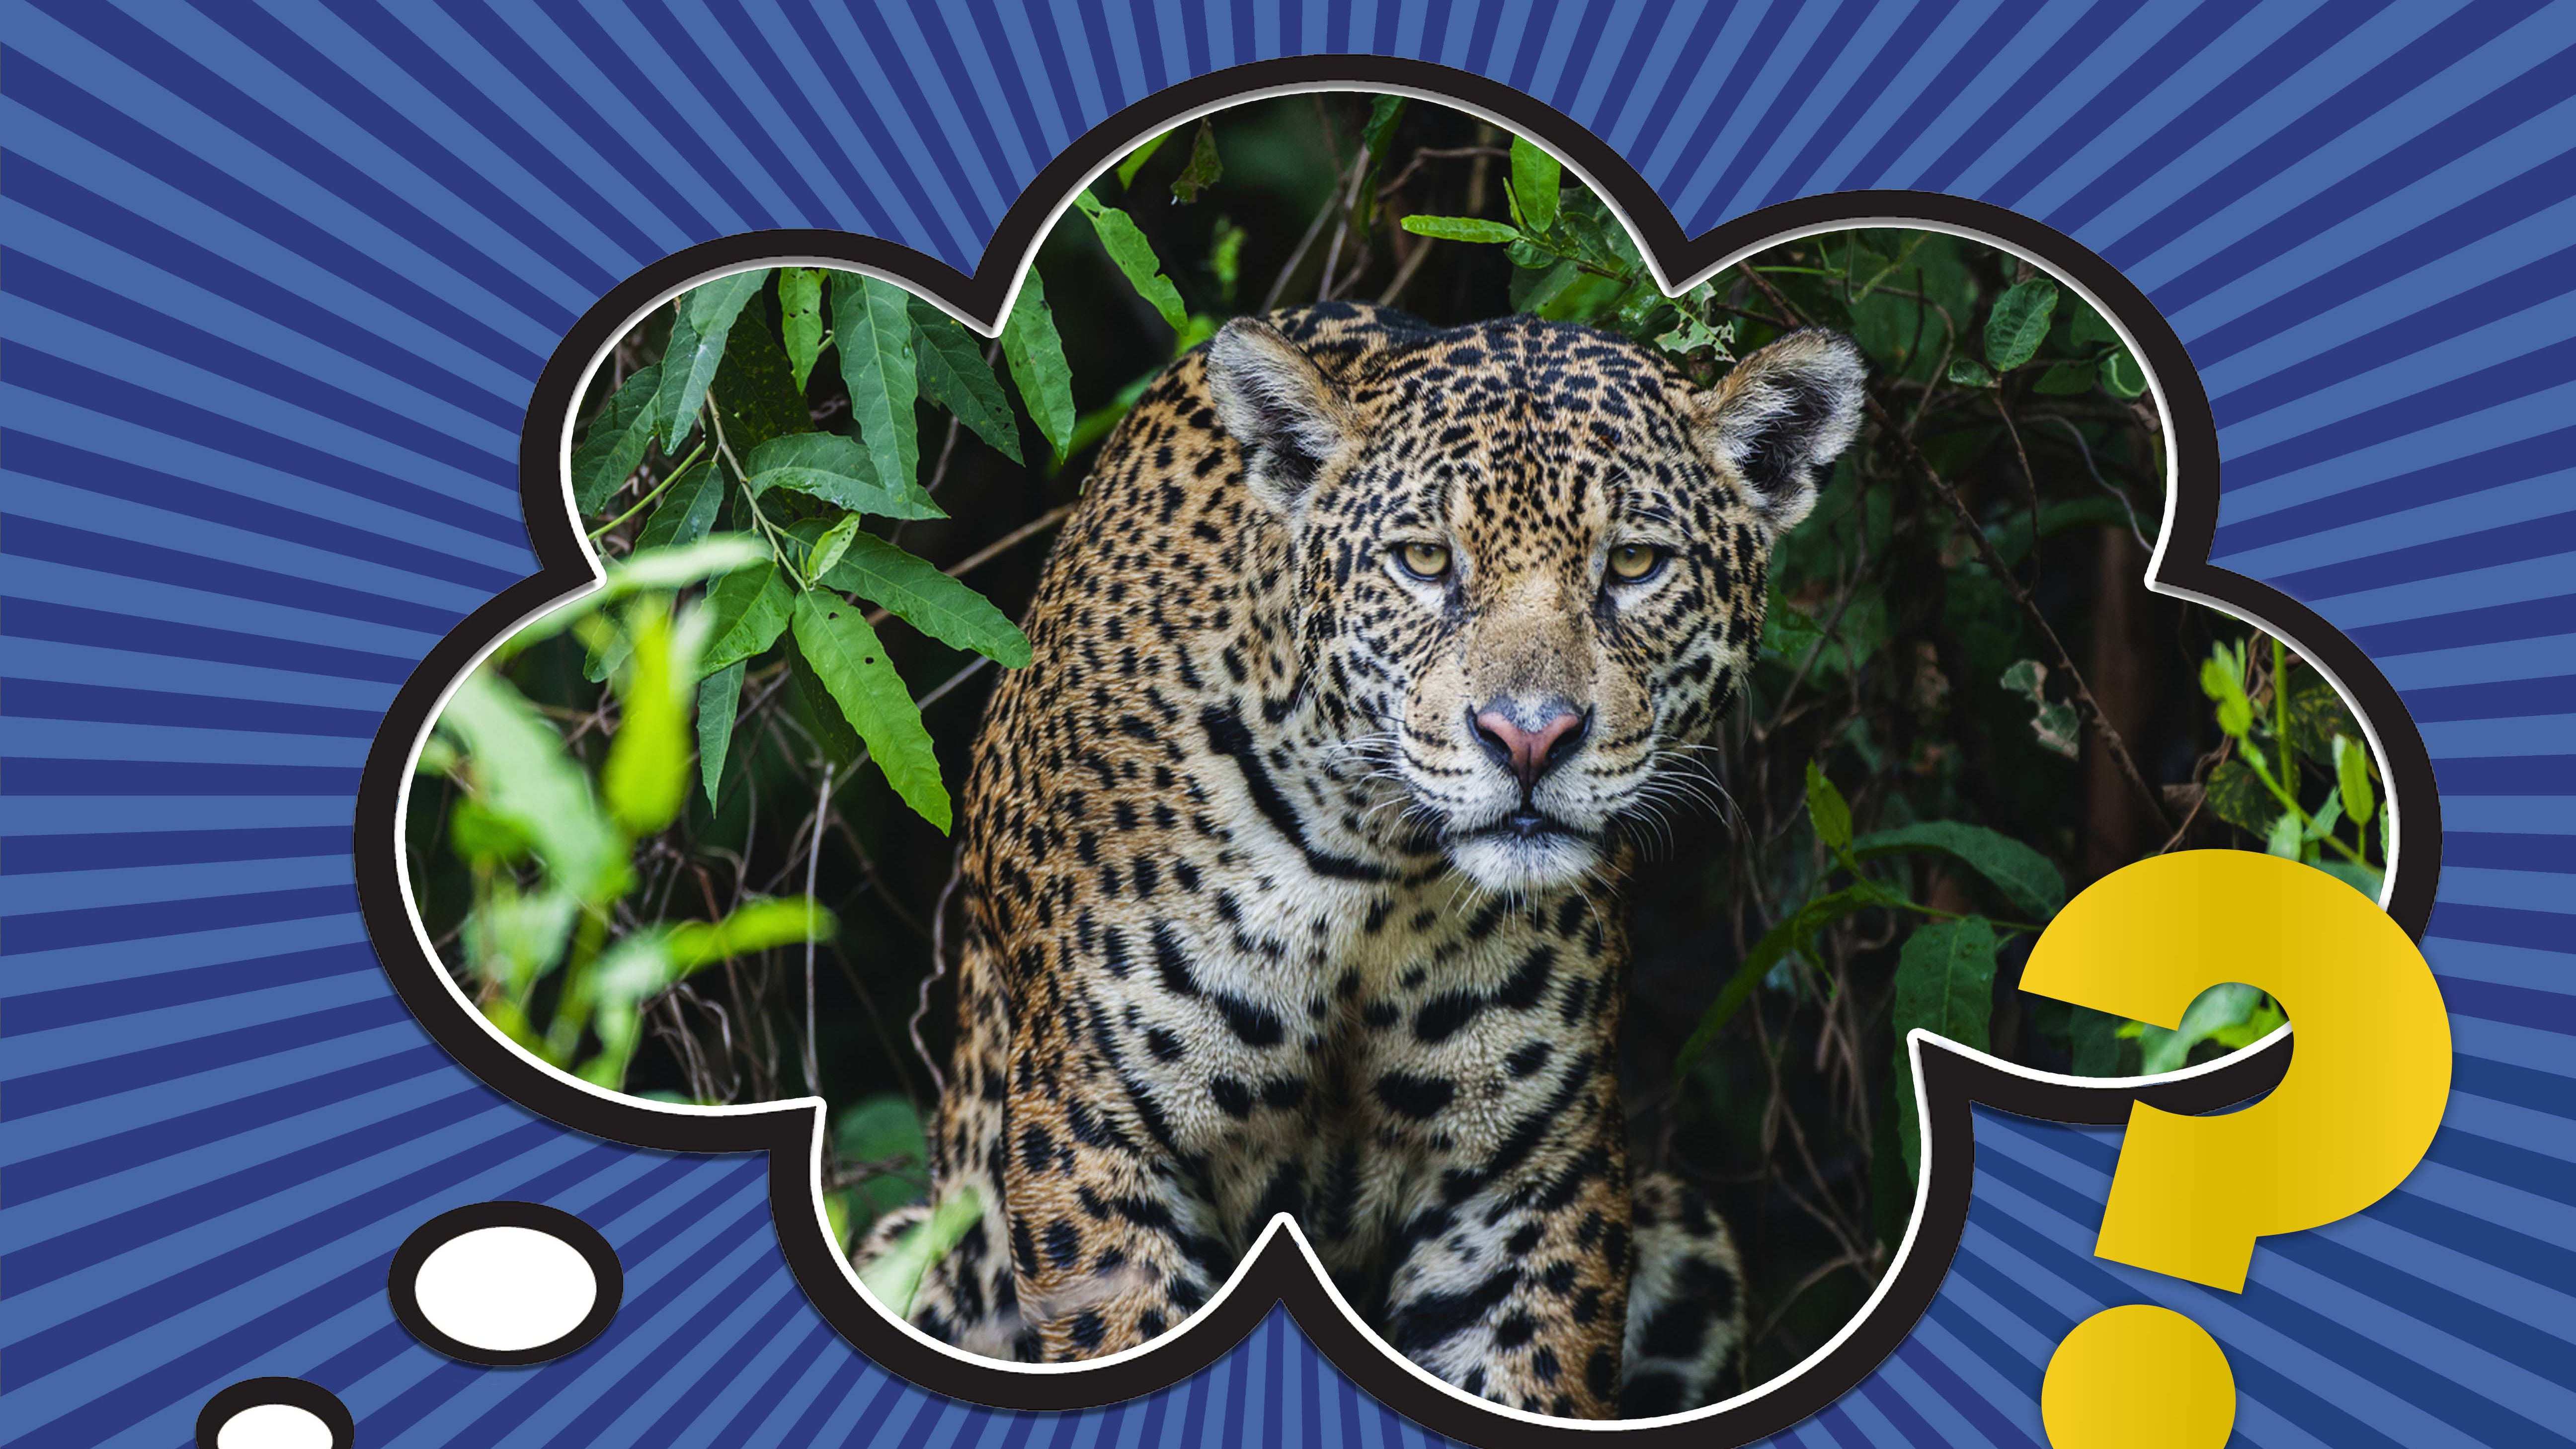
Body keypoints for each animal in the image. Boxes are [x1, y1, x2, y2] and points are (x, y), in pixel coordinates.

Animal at [858, 301, 1862, 1419]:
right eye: (1422, 561)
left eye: (1636, 565)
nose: (1528, 739)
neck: (1375, 866)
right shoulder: (1095, 1131)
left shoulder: (1524, 1180)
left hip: (1688, 1240)